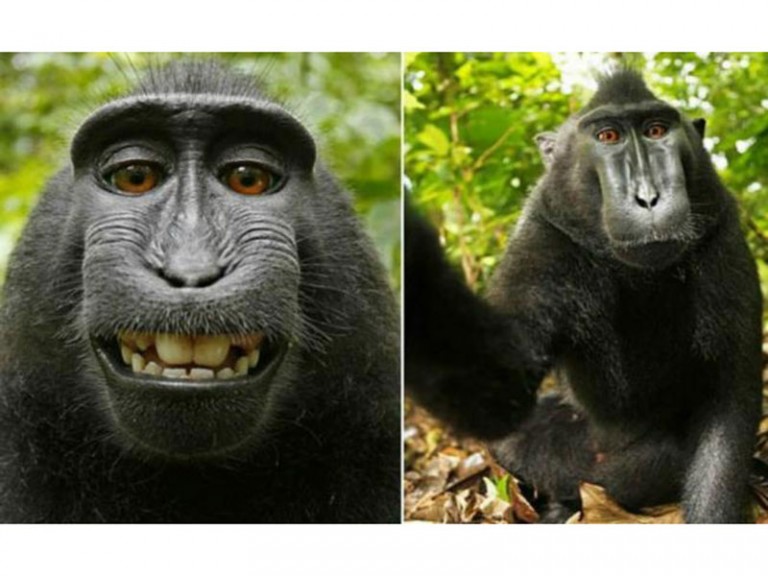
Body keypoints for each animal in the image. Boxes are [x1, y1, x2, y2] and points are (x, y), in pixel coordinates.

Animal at [405, 69, 762, 523]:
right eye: (608, 136)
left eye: (656, 130)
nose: (648, 198)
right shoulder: (543, 236)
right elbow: (496, 389)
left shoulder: (722, 237)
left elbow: (729, 402)